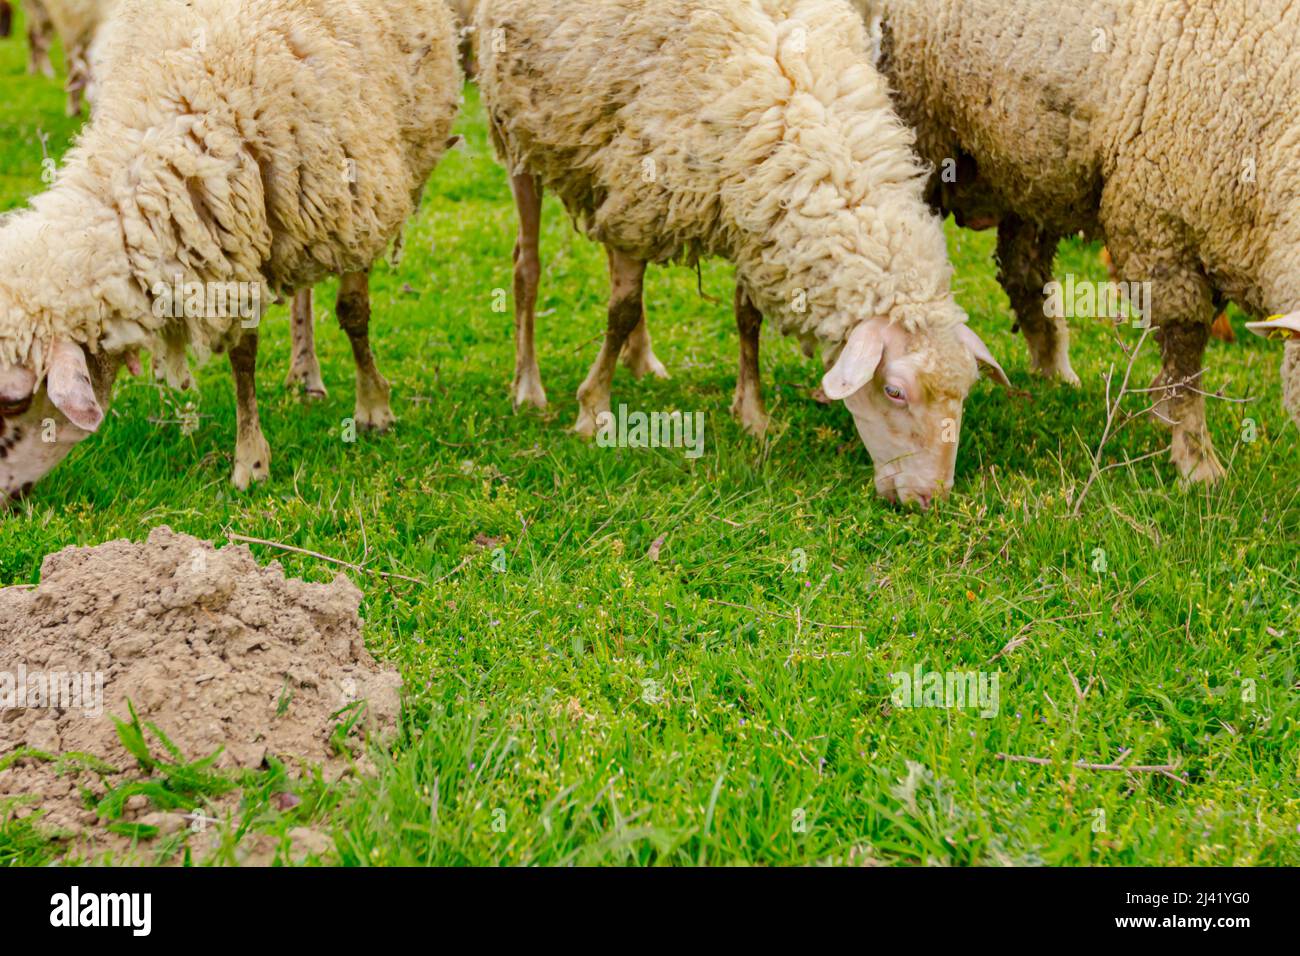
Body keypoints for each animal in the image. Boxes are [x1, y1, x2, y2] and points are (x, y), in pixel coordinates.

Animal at [0, 0, 461, 501]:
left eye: (14, 401)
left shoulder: (359, 205)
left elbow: (354, 312)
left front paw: (374, 407)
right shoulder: (231, 243)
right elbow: (243, 357)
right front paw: (252, 459)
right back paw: (305, 371)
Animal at [477, 0, 1010, 508]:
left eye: (964, 393)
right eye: (895, 392)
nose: (929, 499)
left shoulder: (752, 215)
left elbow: (745, 318)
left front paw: (752, 414)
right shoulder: (639, 197)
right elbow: (622, 310)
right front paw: (593, 410)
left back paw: (642, 361)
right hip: (518, 136)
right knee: (527, 267)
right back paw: (528, 387)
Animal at [864, 0, 1300, 483]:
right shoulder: (1155, 220)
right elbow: (1185, 351)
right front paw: (1197, 460)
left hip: (1030, 164)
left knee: (1023, 272)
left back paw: (1054, 371)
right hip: (923, 127)